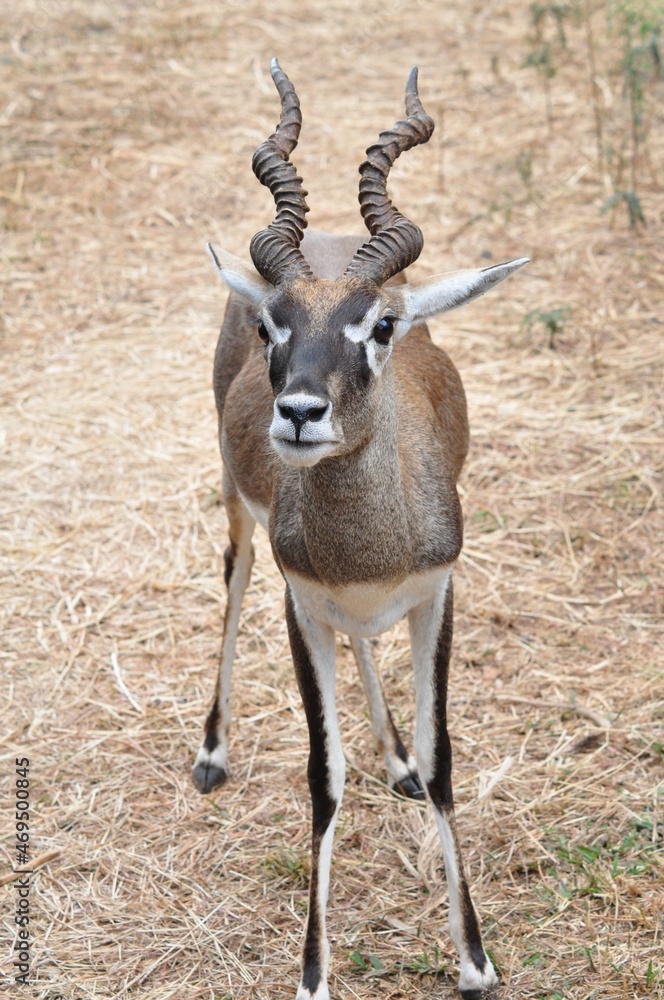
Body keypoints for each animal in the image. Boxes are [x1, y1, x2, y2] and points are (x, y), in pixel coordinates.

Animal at [193, 59, 528, 999]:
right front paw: (313, 972)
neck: (368, 543)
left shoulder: (434, 597)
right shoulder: (300, 606)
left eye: (382, 326)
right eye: (272, 323)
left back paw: (397, 760)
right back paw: (213, 752)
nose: (300, 413)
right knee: (232, 577)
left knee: (367, 649)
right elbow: (324, 773)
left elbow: (445, 758)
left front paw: (474, 958)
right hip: (237, 507)